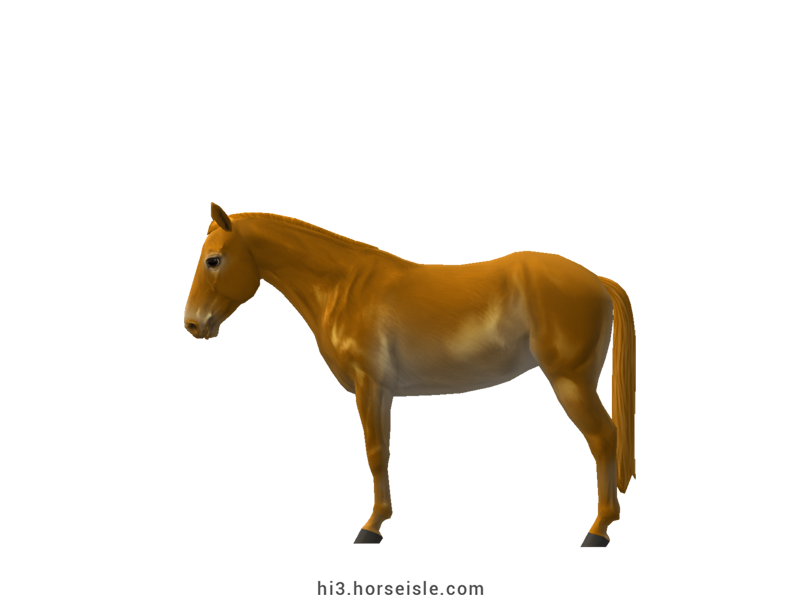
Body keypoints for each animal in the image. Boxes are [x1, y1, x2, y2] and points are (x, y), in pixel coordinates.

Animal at [184, 202, 636, 541]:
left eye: (213, 260)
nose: (192, 323)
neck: (344, 287)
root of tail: (595, 280)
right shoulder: (381, 388)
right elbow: (383, 449)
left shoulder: (369, 382)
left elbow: (375, 450)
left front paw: (374, 522)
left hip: (571, 380)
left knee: (603, 438)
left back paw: (600, 525)